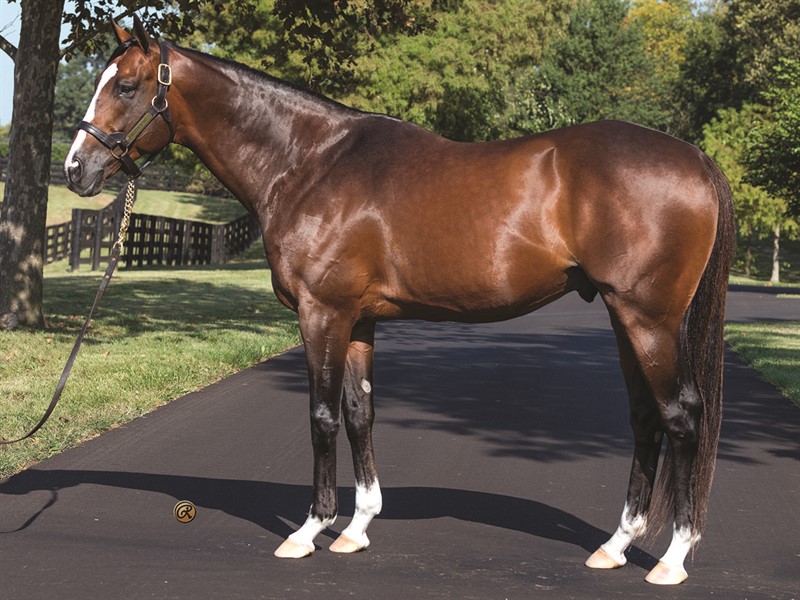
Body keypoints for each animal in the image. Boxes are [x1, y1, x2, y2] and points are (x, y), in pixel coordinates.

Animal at [64, 18, 735, 586]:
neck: (308, 163)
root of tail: (696, 159)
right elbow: (360, 413)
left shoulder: (322, 314)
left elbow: (322, 416)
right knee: (646, 419)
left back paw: (672, 559)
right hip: (627, 320)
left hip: (648, 320)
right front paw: (356, 528)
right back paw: (615, 547)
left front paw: (308, 530)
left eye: (125, 85)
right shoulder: (359, 320)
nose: (75, 169)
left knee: (681, 417)